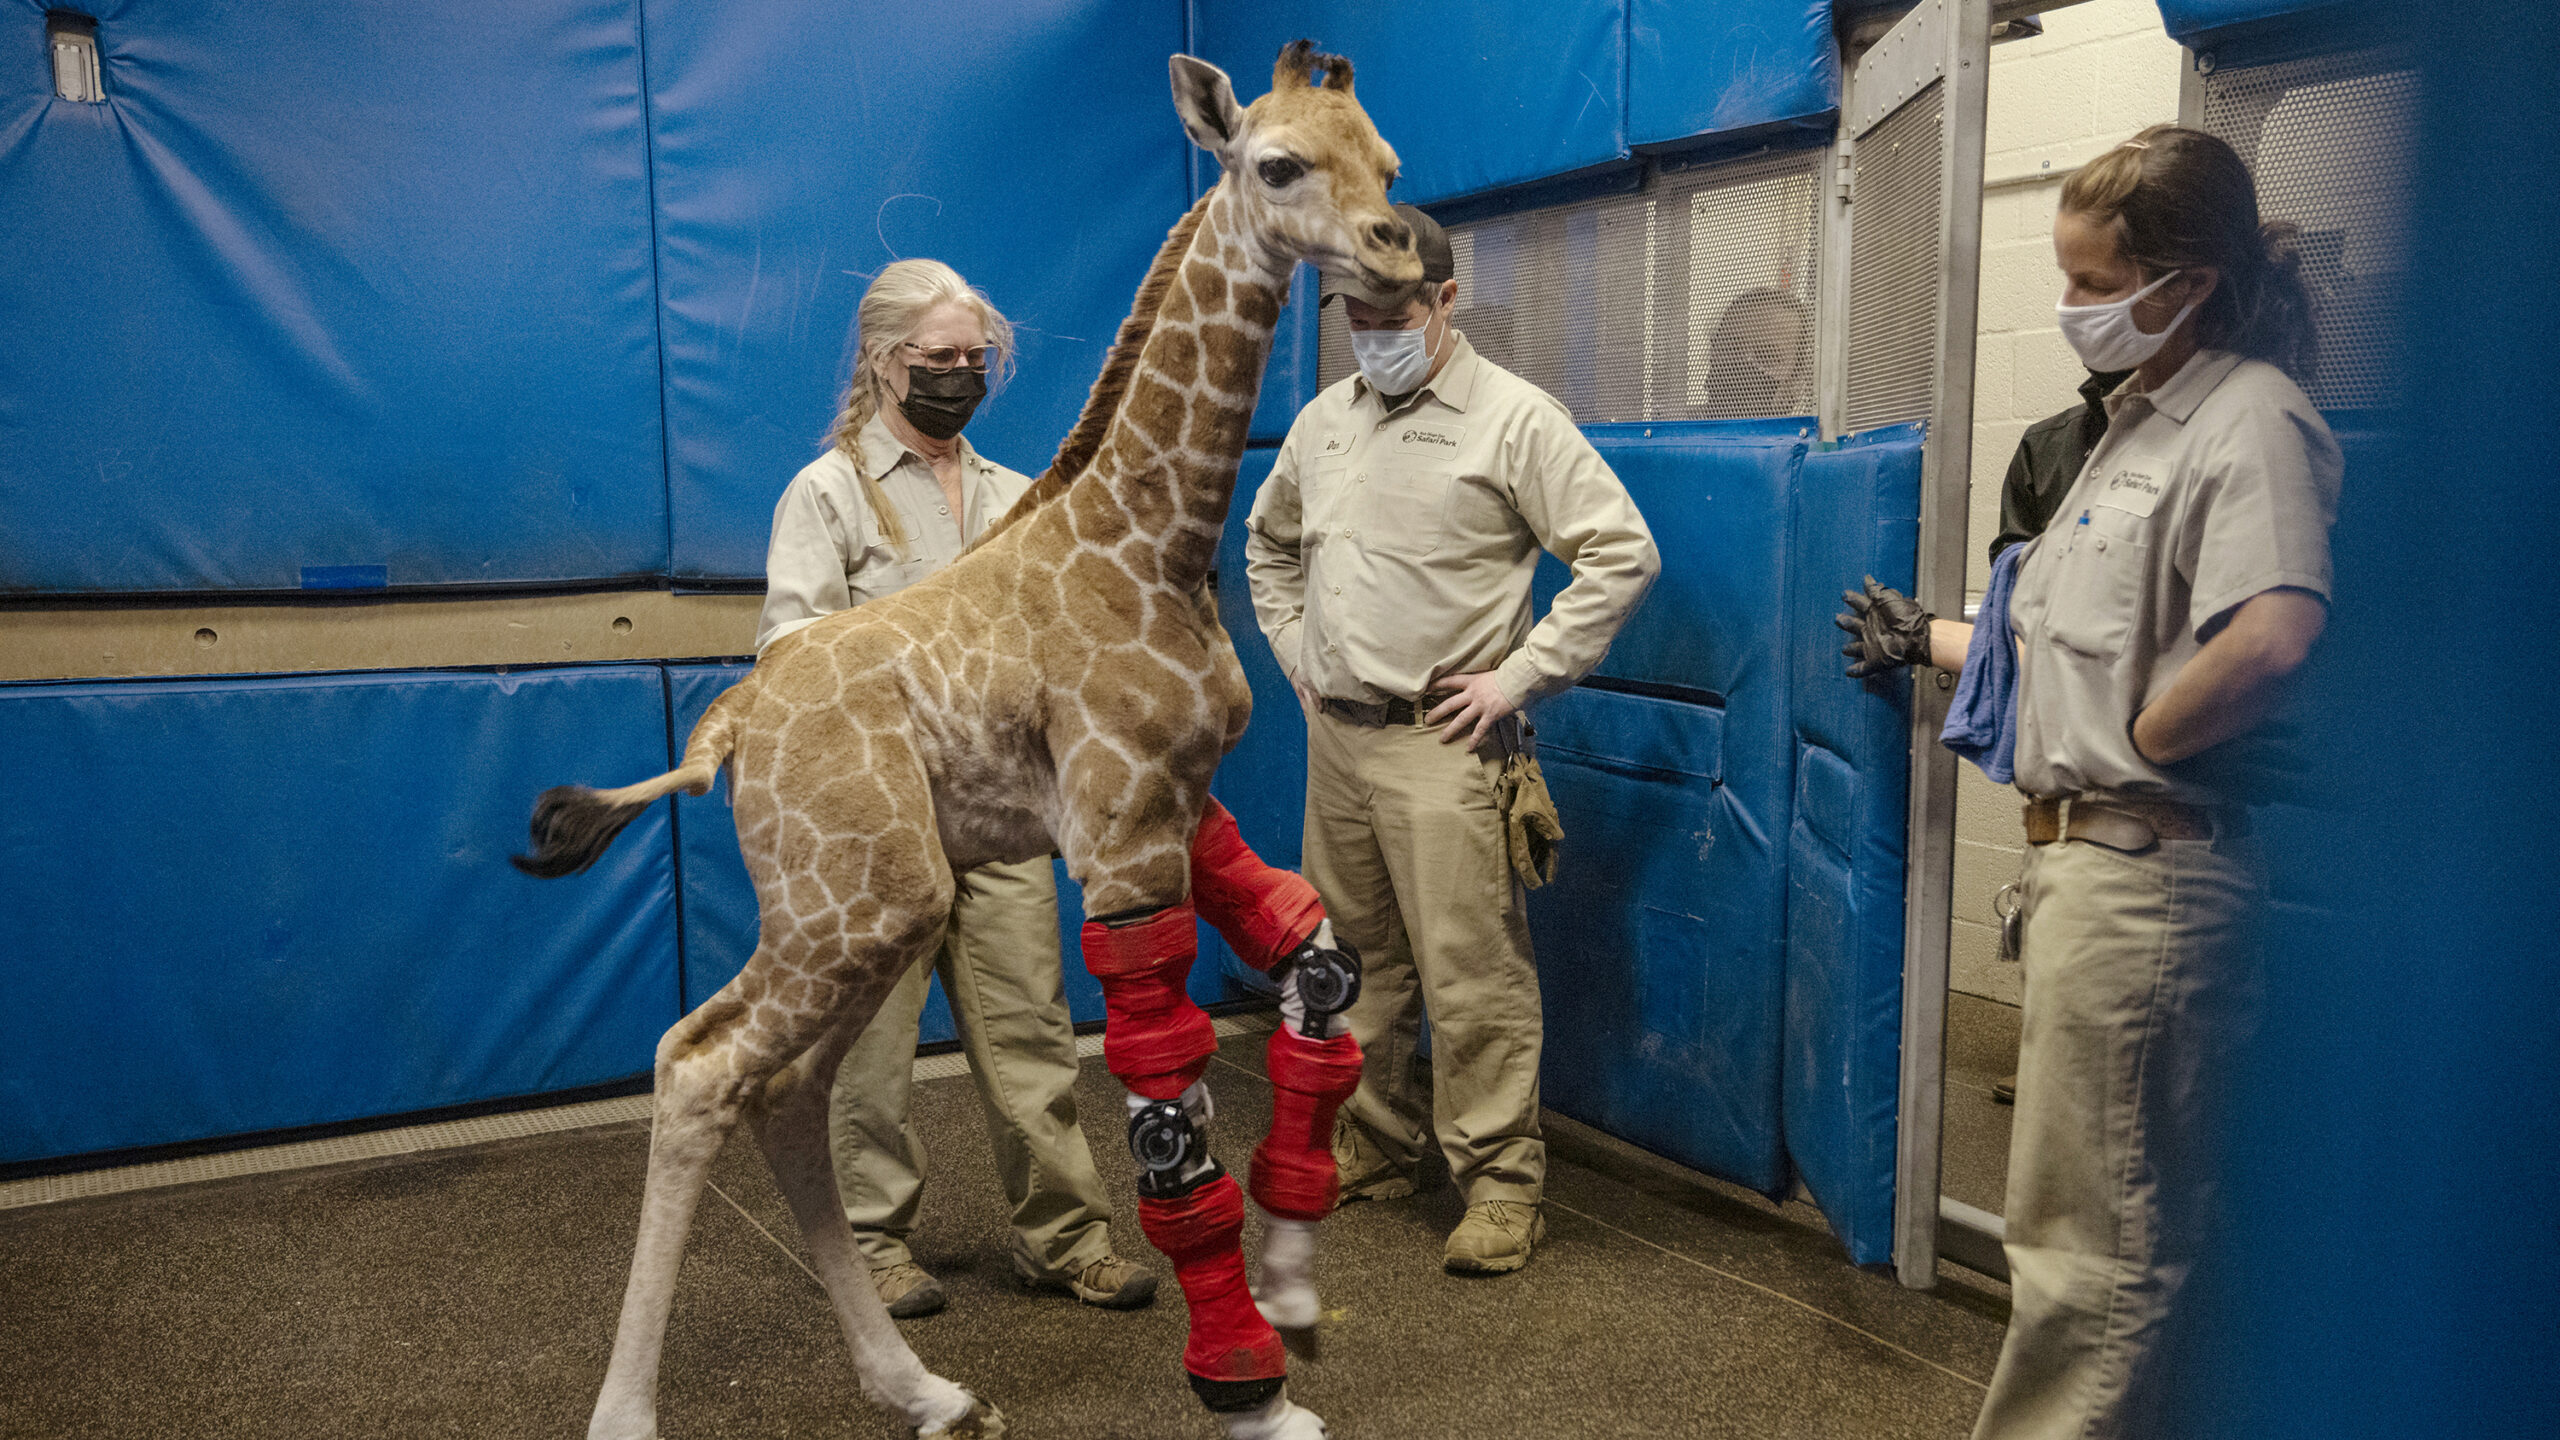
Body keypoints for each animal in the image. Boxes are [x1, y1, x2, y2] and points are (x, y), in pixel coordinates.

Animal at [511, 42, 1418, 1440]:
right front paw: (1251, 1393)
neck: (1153, 541)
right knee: (700, 1065)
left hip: (884, 908)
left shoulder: (1174, 804)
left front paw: (1297, 1294)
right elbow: (1170, 1122)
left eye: (1386, 160)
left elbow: (1319, 973)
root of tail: (726, 726)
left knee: (784, 1094)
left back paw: (921, 1387)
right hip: (856, 900)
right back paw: (629, 1416)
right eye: (1276, 164)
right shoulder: (1120, 839)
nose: (1401, 250)